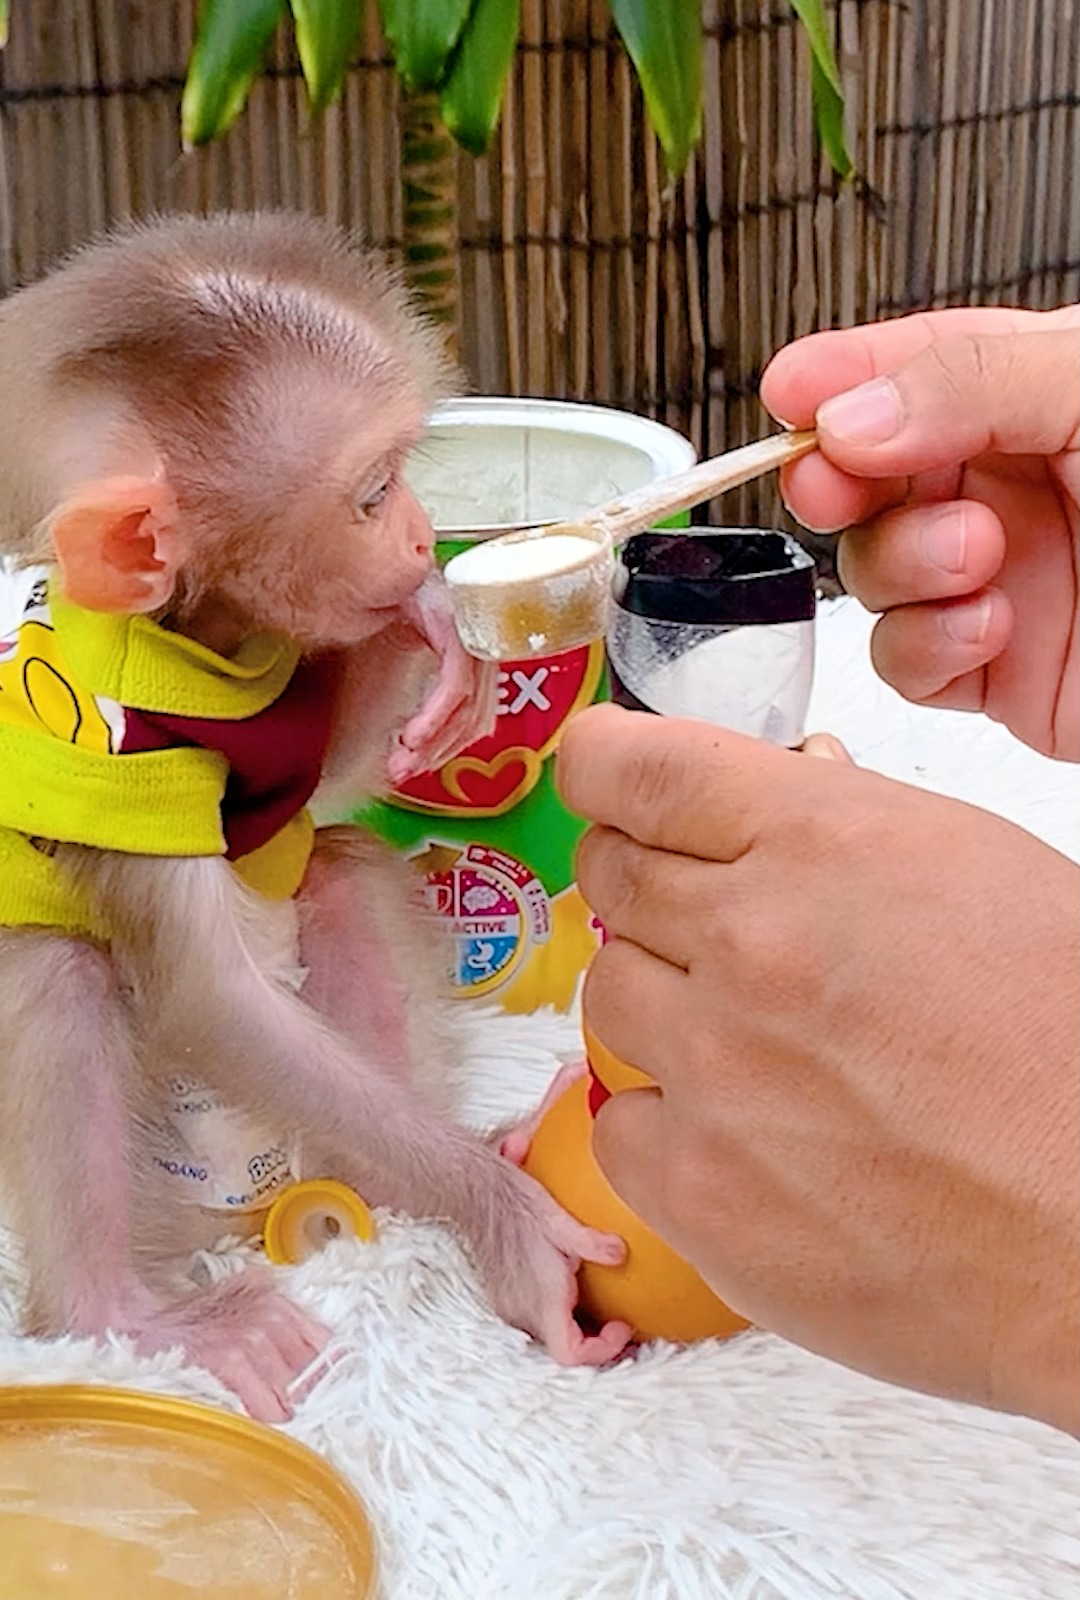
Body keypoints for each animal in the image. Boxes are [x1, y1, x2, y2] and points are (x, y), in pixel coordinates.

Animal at [0, 212, 631, 1424]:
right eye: (376, 492)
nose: (429, 537)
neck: (204, 637)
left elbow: (321, 793)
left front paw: (429, 632)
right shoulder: (117, 751)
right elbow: (214, 1001)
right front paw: (509, 1225)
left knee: (336, 869)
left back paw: (395, 1177)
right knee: (58, 975)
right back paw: (125, 1318)